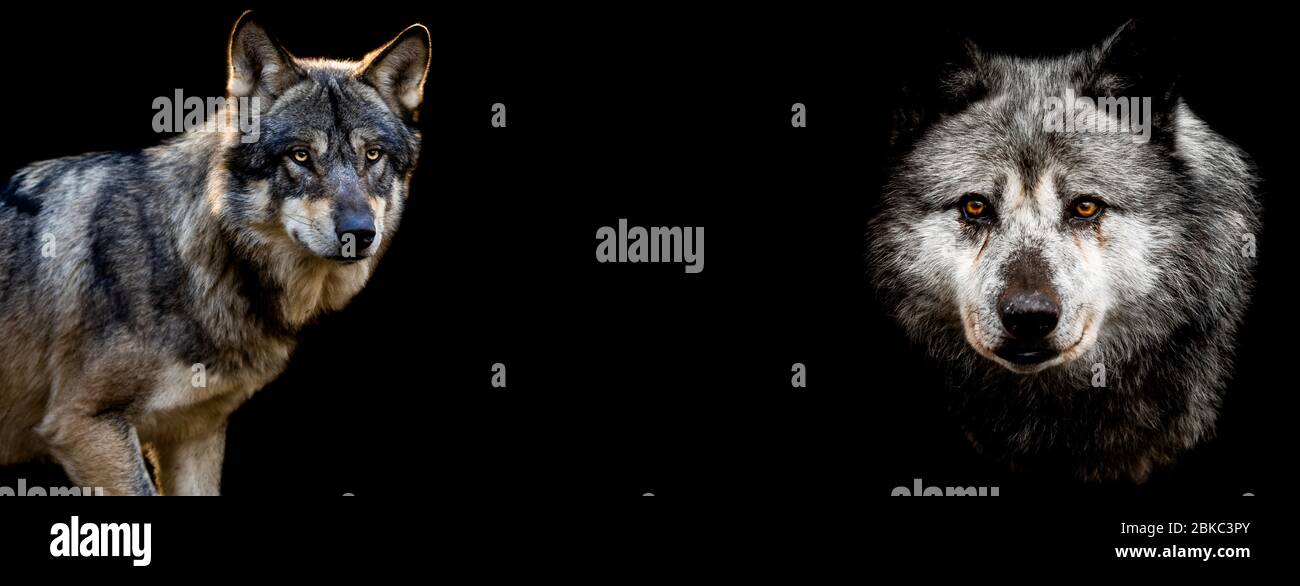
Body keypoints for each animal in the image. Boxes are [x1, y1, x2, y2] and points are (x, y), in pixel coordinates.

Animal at [0, 13, 430, 494]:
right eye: (300, 156)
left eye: (372, 155)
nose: (359, 232)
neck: (189, 254)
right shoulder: (84, 426)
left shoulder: (195, 433)